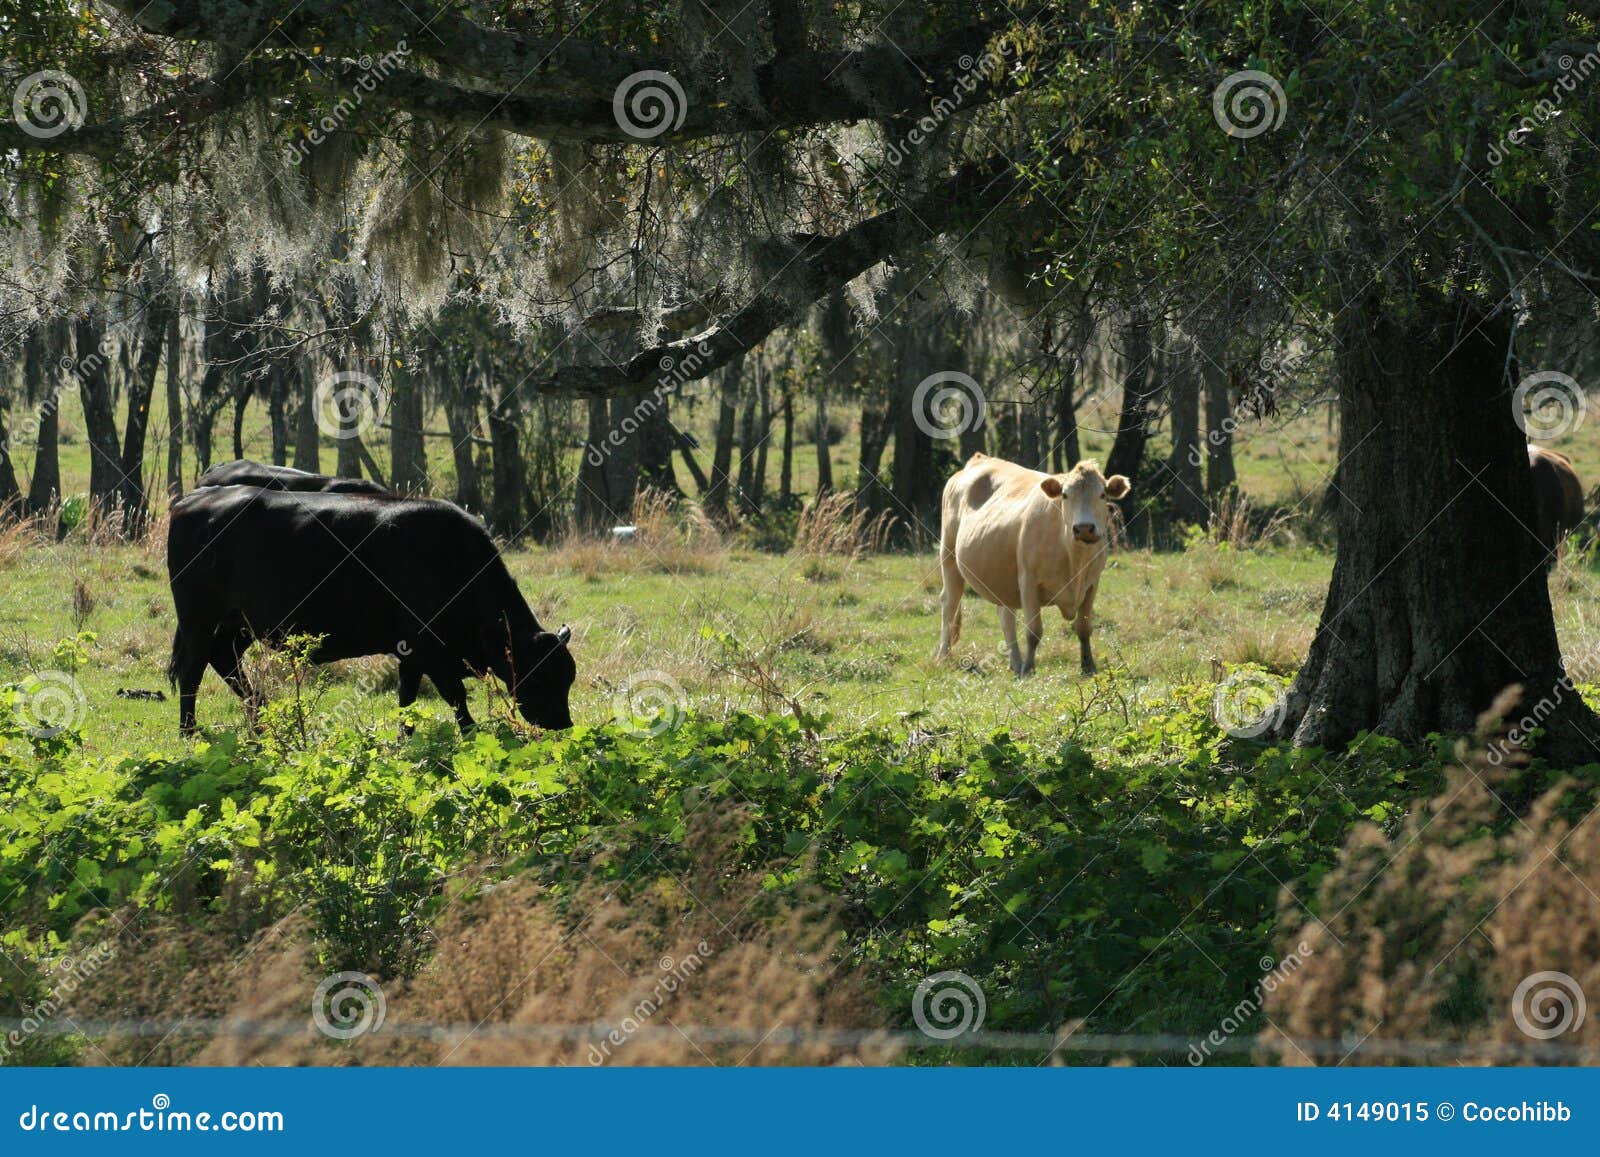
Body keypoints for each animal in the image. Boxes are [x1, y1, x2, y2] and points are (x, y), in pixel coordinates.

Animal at [166, 486, 574, 733]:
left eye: (567, 678)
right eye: (540, 676)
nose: (563, 723)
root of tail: (194, 500)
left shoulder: (411, 654)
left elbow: (407, 699)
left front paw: (405, 737)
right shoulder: (430, 651)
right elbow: (456, 697)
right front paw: (472, 735)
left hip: (238, 624)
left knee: (225, 659)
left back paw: (261, 719)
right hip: (199, 620)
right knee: (192, 670)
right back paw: (189, 731)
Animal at [934, 453, 1130, 677]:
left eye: (1102, 494)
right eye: (1065, 495)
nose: (1083, 528)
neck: (1074, 557)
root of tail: (979, 459)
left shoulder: (1092, 584)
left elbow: (1083, 627)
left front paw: (1088, 666)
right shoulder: (1028, 581)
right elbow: (1033, 631)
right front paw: (1029, 669)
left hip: (1001, 577)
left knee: (1006, 617)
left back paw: (1015, 662)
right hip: (949, 556)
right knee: (949, 605)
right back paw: (943, 657)